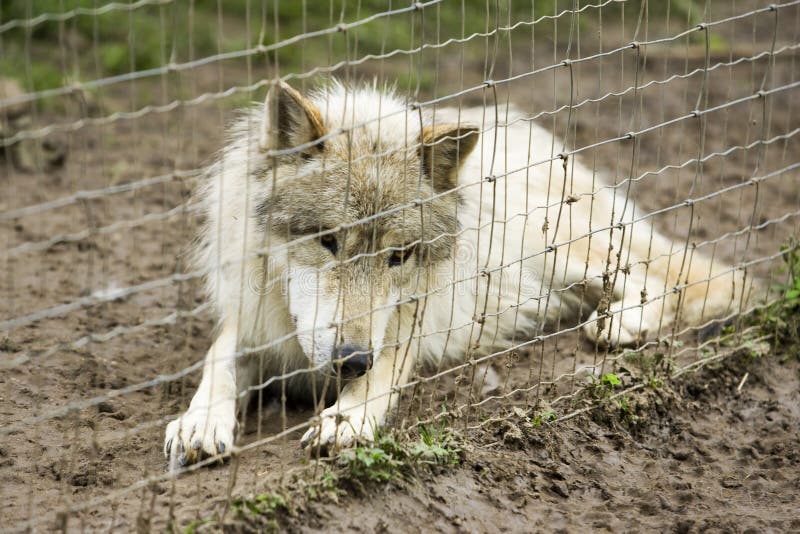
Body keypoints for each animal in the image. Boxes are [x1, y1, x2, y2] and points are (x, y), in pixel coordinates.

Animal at [164, 80, 749, 465]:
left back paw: (623, 324)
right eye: (327, 242)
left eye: (399, 256)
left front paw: (344, 420)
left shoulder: (405, 327)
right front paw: (200, 421)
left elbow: (380, 375)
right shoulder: (250, 323)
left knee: (684, 276)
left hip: (555, 248)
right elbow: (217, 364)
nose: (350, 359)